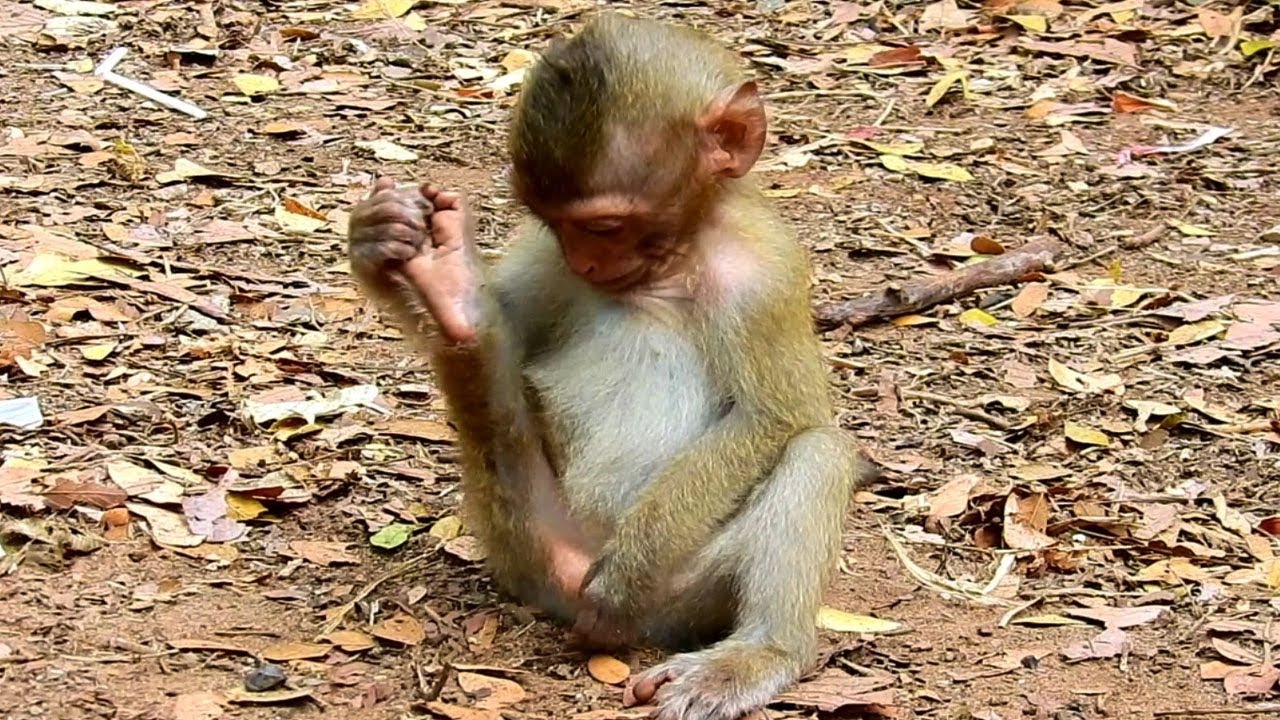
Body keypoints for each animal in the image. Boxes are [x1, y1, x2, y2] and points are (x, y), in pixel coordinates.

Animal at [346, 13, 870, 720]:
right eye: (553, 222)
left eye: (606, 226)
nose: (585, 263)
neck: (672, 263)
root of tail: (567, 578)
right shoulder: (546, 257)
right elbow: (515, 333)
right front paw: (381, 241)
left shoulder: (766, 274)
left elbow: (774, 418)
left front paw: (628, 574)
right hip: (520, 537)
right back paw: (453, 296)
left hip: (683, 593)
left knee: (819, 450)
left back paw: (755, 653)